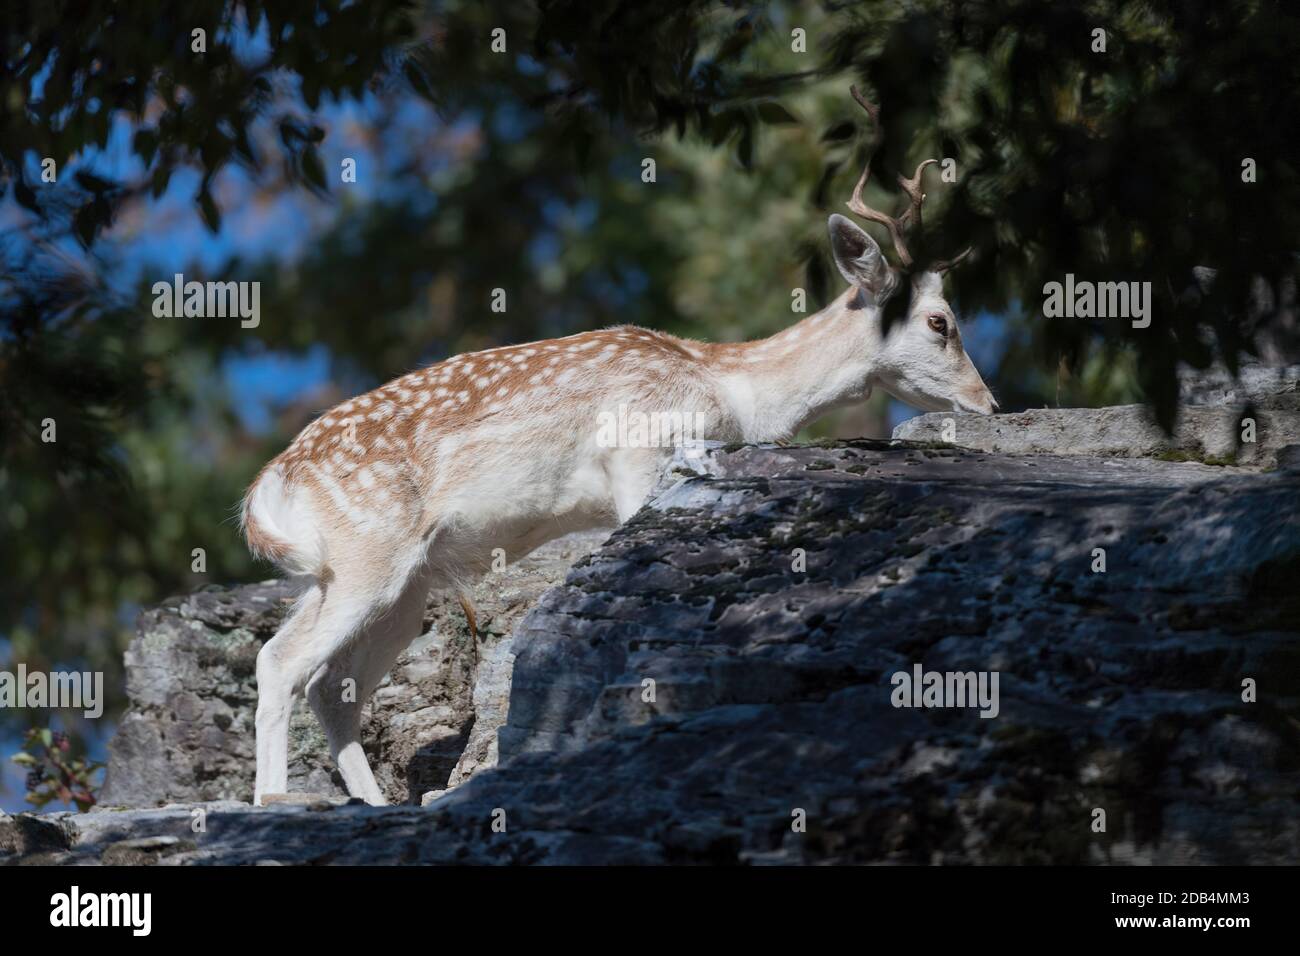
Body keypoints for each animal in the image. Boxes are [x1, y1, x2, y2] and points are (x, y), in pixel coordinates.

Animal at [240, 86, 997, 806]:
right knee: (281, 662)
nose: (988, 404)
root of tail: (266, 491)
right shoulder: (637, 453)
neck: (729, 387)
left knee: (328, 684)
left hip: (392, 581)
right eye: (941, 322)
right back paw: (272, 798)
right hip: (367, 551)